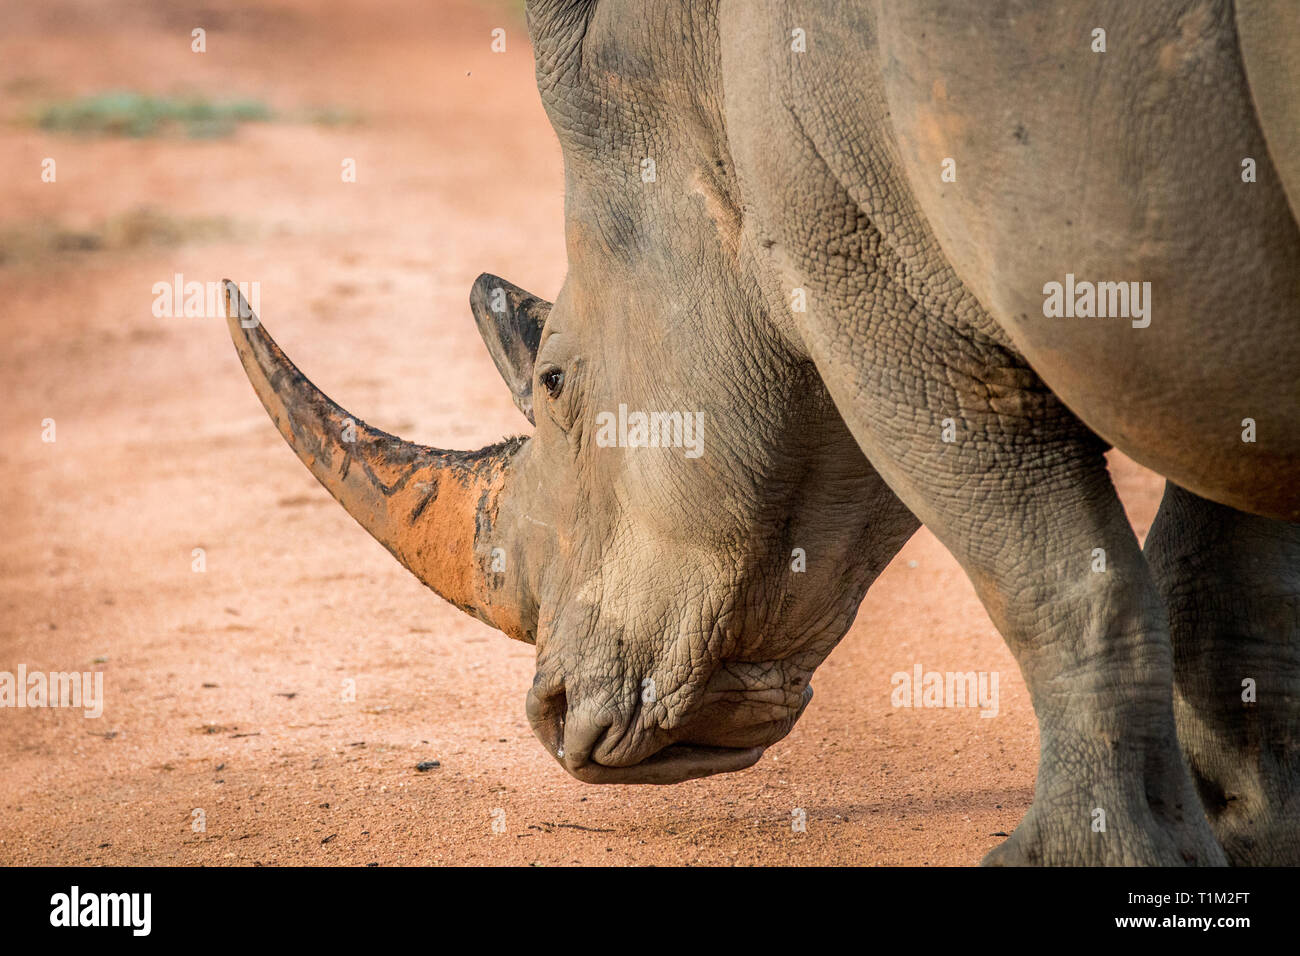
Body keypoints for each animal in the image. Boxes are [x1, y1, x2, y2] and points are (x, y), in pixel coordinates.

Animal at [225, 0, 1300, 865]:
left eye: (557, 381)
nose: (552, 717)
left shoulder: (879, 291)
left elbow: (1053, 576)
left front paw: (1089, 857)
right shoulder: (1229, 329)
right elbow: (1226, 556)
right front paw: (1248, 830)